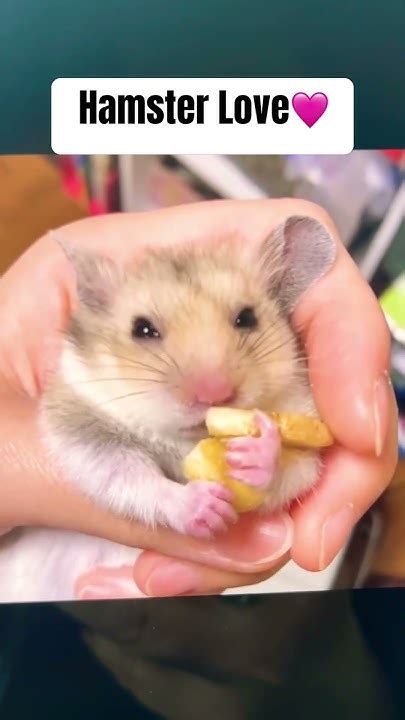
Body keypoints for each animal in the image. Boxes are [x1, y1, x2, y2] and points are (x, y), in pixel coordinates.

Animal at [0, 214, 335, 603]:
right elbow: (128, 474)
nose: (215, 393)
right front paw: (205, 509)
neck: (182, 441)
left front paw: (258, 452)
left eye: (247, 318)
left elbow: (291, 472)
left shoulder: (306, 448)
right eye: (142, 329)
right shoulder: (80, 428)